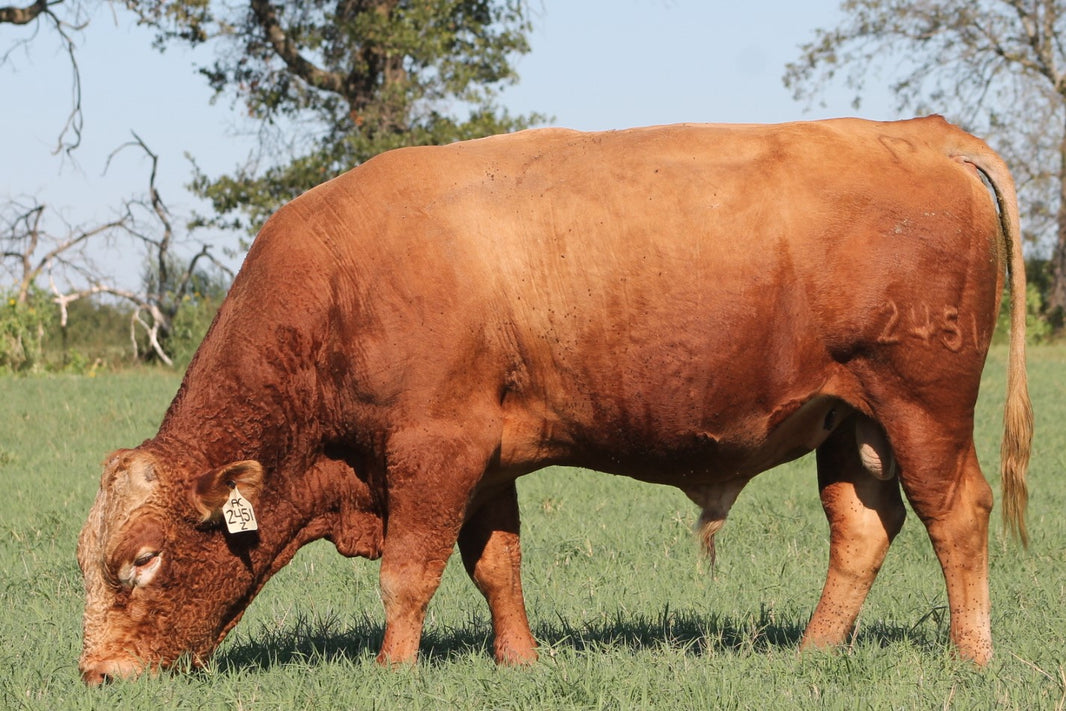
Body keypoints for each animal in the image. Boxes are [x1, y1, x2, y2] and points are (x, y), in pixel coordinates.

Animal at [77, 116, 1032, 684]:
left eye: (141, 559)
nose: (97, 674)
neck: (340, 287)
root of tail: (923, 136)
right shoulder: (485, 460)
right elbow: (495, 564)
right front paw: (520, 662)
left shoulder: (432, 448)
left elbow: (407, 573)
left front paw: (392, 672)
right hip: (854, 420)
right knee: (864, 525)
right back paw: (813, 650)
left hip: (923, 407)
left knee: (957, 514)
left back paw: (971, 657)